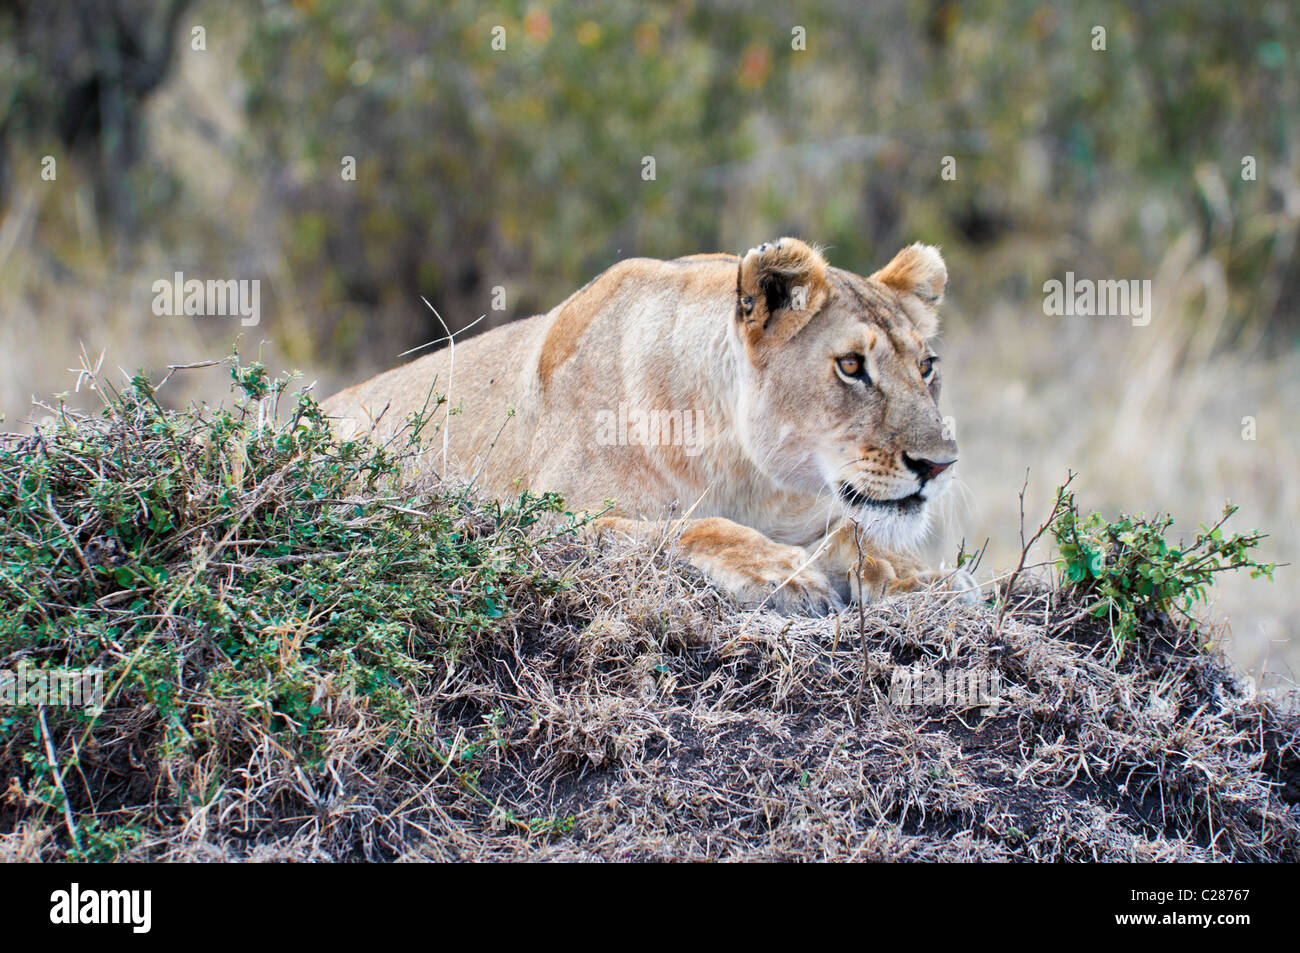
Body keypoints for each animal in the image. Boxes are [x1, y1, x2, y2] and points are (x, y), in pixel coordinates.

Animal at [322, 238, 976, 613]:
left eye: (926, 367)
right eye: (851, 366)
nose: (940, 465)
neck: (753, 479)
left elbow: (856, 533)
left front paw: (916, 576)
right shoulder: (542, 524)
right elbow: (685, 528)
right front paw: (781, 571)